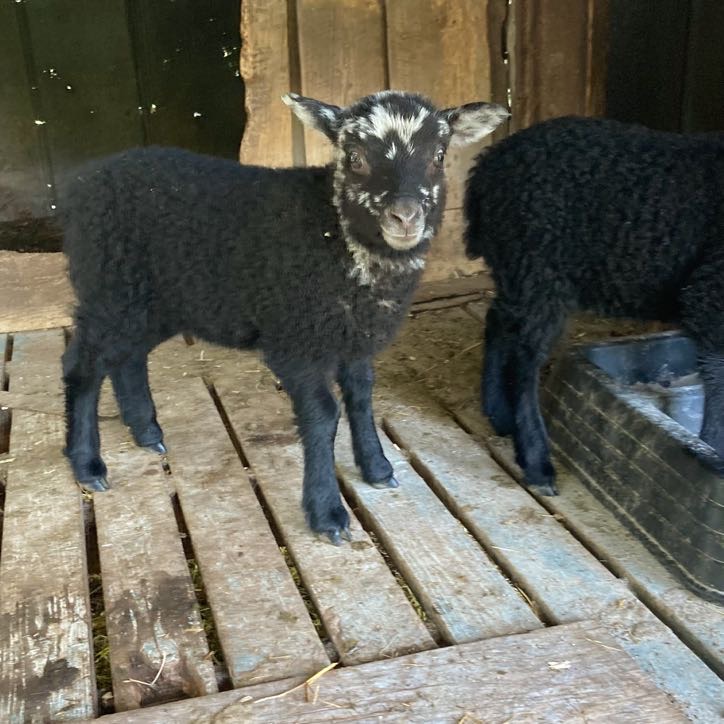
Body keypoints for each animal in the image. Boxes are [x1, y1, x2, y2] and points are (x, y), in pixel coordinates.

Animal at [61, 90, 509, 543]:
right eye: (355, 158)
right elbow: (324, 414)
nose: (404, 216)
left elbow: (362, 396)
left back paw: (147, 431)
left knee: (127, 357)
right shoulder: (295, 339)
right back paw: (87, 463)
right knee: (82, 366)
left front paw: (377, 467)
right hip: (108, 288)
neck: (335, 232)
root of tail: (85, 182)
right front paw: (327, 511)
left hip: (149, 300)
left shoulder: (355, 338)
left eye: (439, 155)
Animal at [464, 115, 724, 495]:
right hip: (538, 267)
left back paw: (499, 415)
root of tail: (488, 165)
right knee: (525, 361)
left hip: (516, 269)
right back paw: (537, 463)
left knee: (499, 321)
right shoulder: (710, 299)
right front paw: (713, 457)